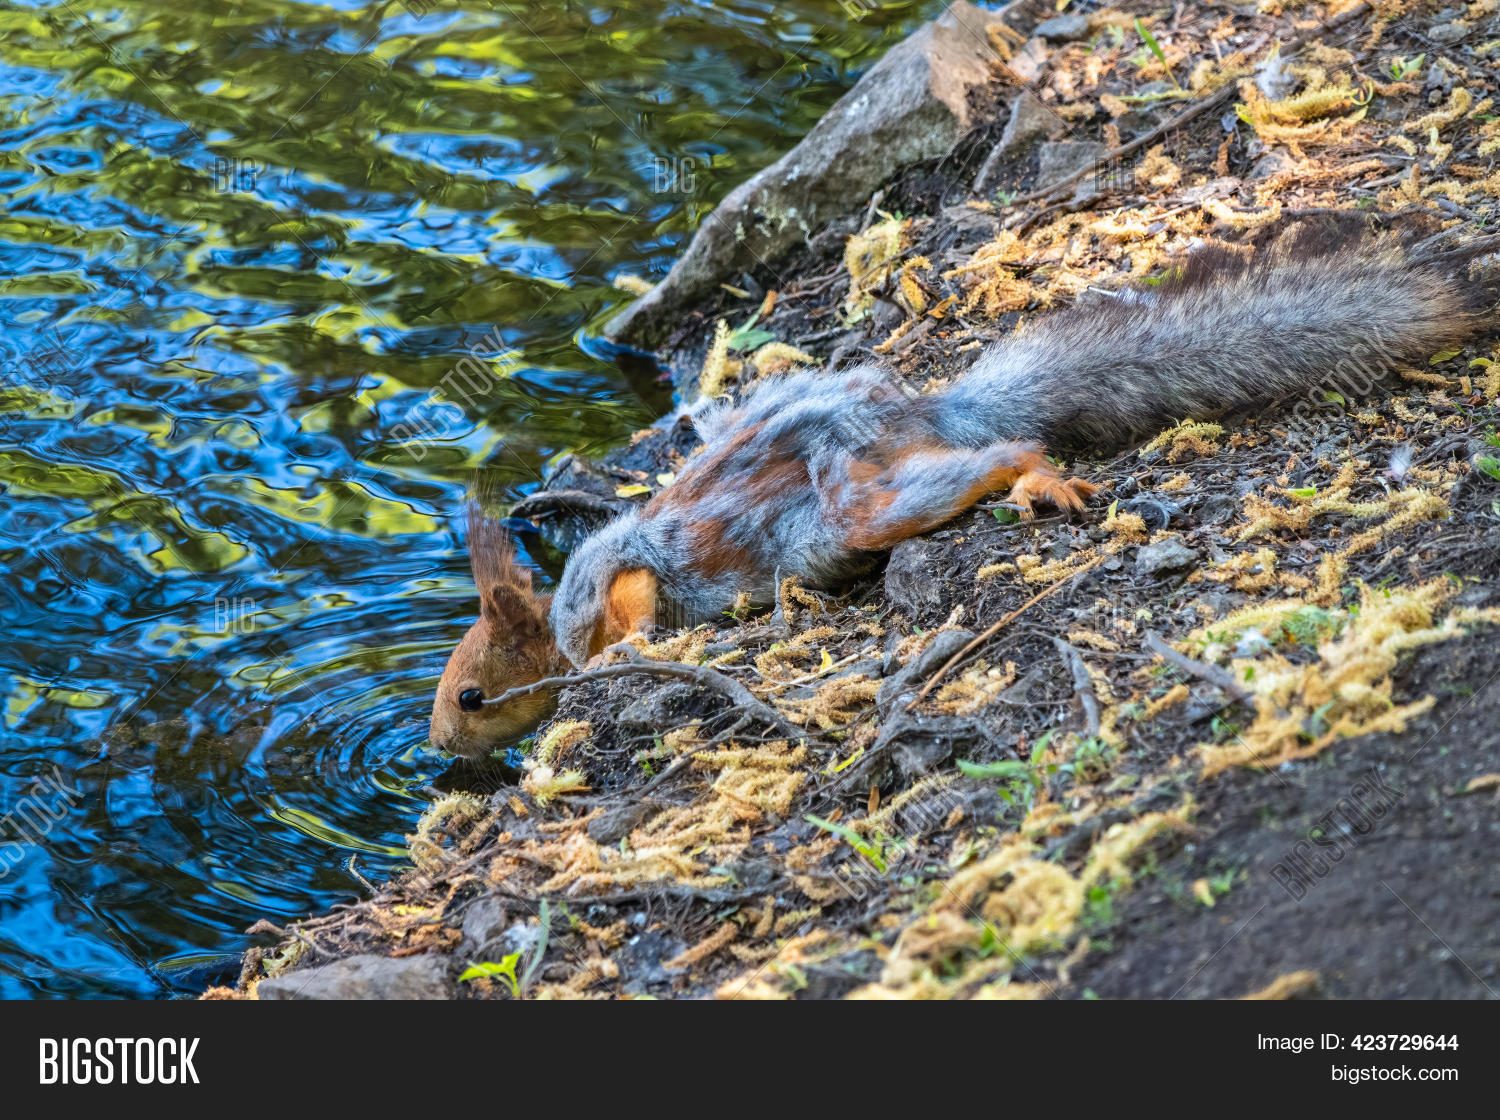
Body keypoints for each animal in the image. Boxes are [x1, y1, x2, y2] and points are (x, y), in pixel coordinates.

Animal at [433, 223, 1498, 751]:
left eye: (473, 697)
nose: (442, 750)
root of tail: (929, 415)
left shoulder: (617, 580)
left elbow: (630, 595)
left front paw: (621, 657)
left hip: (850, 508)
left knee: (987, 459)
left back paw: (1035, 477)